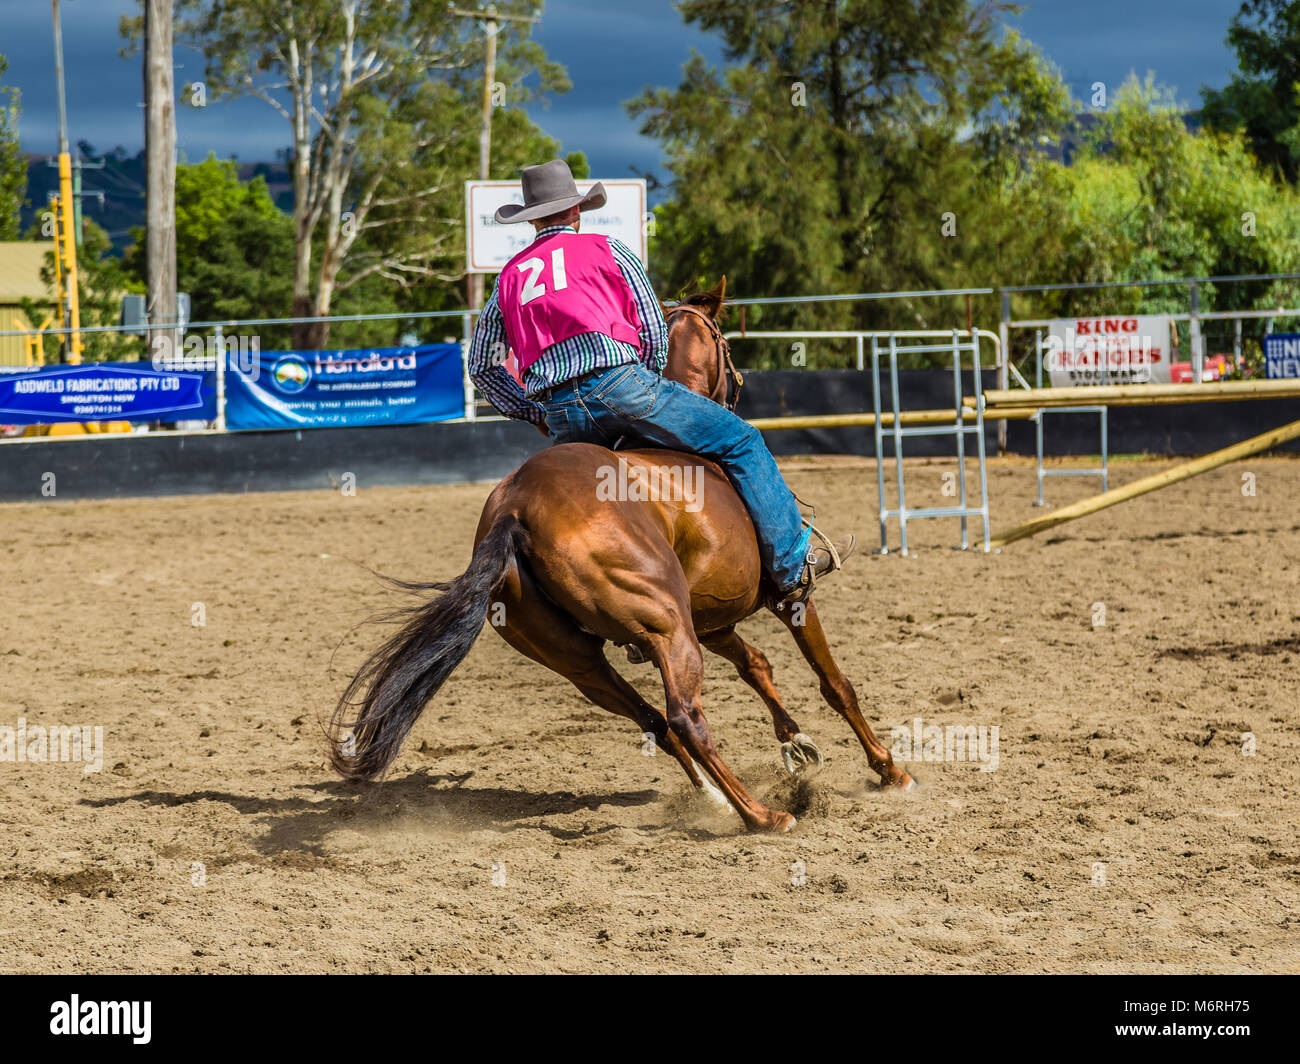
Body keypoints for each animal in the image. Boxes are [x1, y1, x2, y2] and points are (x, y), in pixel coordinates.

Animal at [329, 277, 914, 833]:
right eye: (725, 343)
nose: (738, 388)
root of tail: (515, 510)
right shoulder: (784, 600)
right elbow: (835, 684)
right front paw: (888, 770)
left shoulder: (712, 620)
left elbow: (756, 665)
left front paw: (795, 742)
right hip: (667, 631)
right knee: (683, 717)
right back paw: (762, 815)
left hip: (576, 659)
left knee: (651, 718)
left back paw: (714, 799)